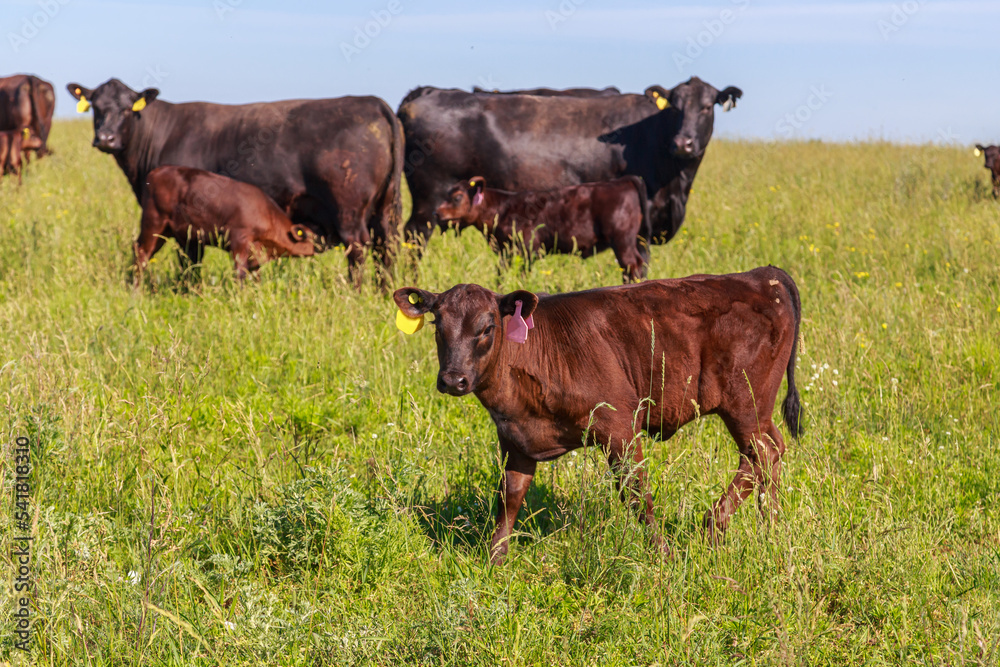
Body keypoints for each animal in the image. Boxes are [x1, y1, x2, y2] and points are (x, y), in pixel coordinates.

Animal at [132, 166, 317, 286]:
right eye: (311, 237)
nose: (321, 246)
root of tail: (155, 172)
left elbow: (256, 276)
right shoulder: (239, 240)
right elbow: (240, 272)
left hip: (170, 234)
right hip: (153, 224)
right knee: (142, 253)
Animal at [393, 266, 802, 563]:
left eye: (487, 327)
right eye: (437, 325)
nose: (453, 379)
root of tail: (761, 274)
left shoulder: (620, 427)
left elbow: (637, 494)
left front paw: (664, 555)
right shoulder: (514, 438)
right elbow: (509, 497)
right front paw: (495, 558)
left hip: (744, 403)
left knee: (760, 455)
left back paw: (713, 526)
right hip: (759, 410)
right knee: (773, 451)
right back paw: (771, 525)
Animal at [398, 77, 742, 249]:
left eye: (707, 107)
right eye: (675, 107)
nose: (684, 143)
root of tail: (428, 91)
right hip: (430, 199)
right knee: (413, 238)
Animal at [434, 175, 651, 281]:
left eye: (457, 197)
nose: (437, 213)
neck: (502, 208)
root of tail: (623, 181)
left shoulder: (527, 251)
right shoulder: (505, 253)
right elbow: (500, 275)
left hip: (622, 241)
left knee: (633, 266)